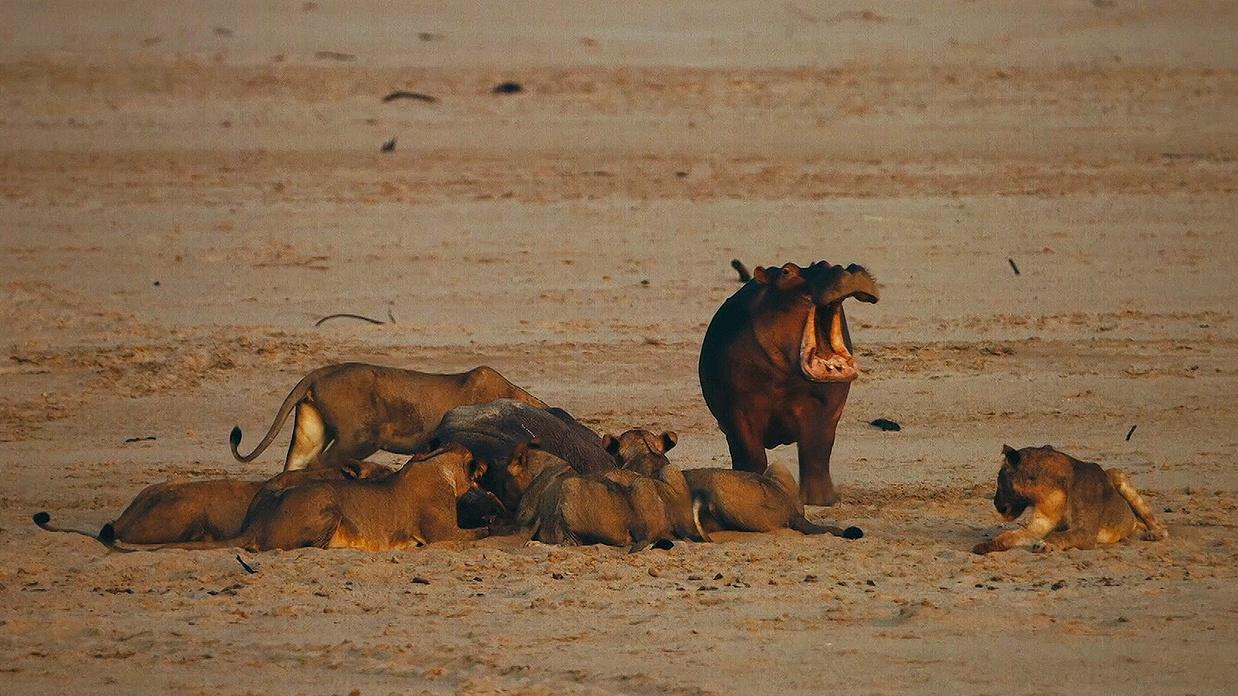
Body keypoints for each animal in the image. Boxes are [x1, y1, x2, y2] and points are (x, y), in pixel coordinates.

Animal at [698, 261, 879, 505]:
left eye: (824, 263)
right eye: (786, 272)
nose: (847, 268)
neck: (785, 375)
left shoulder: (824, 406)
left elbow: (816, 450)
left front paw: (822, 500)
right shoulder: (739, 411)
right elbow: (752, 455)